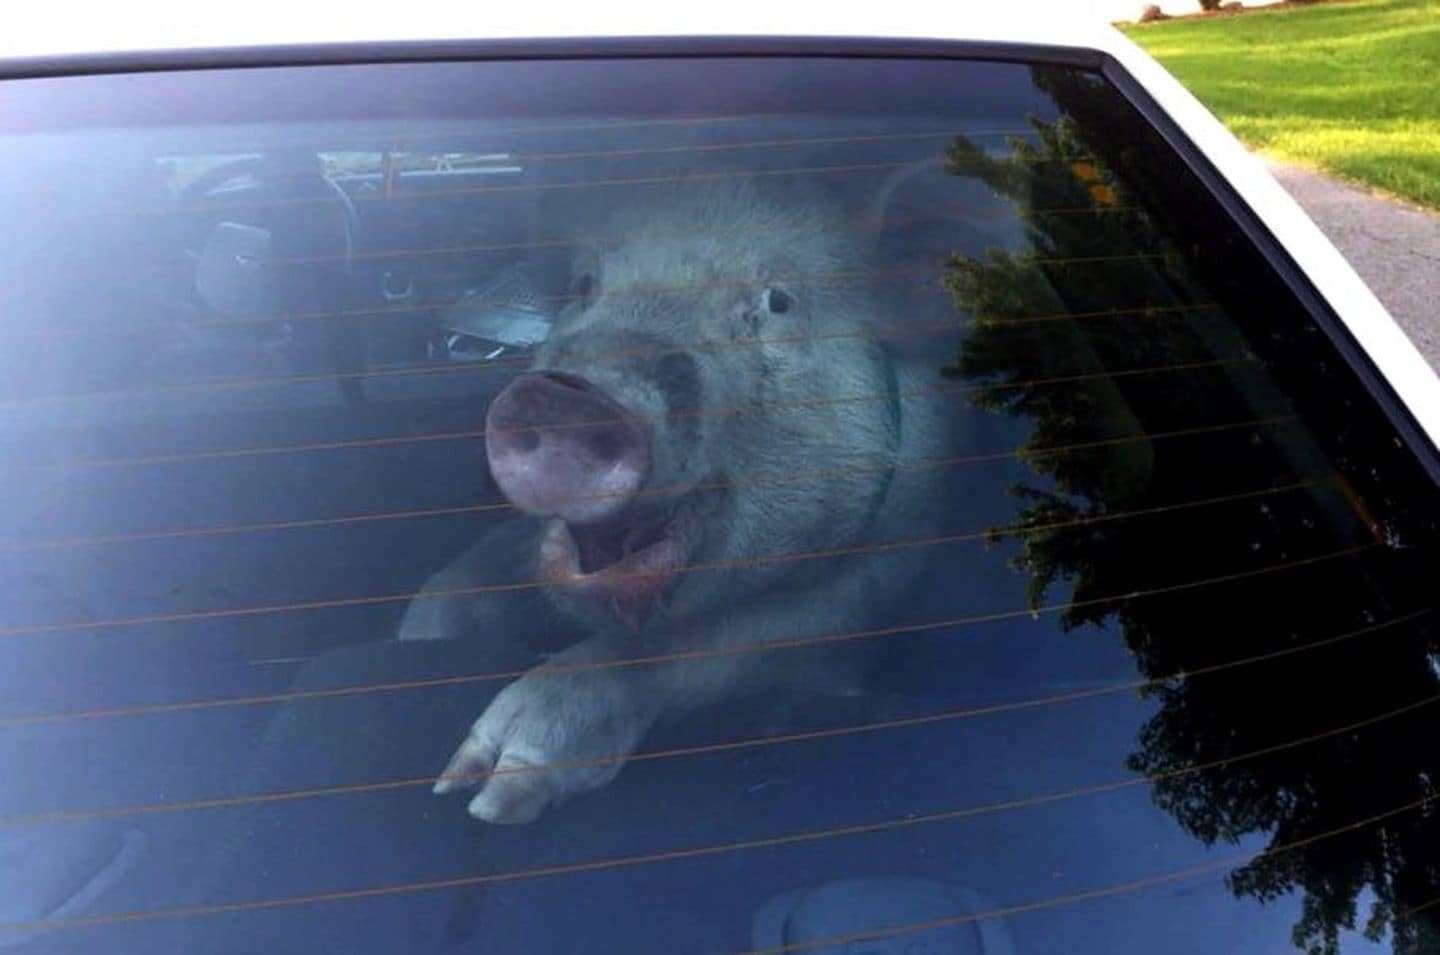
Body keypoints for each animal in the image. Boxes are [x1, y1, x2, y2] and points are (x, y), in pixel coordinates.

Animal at [397, 180, 954, 824]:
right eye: (584, 283)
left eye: (778, 302)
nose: (566, 396)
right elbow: (456, 586)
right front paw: (420, 647)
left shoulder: (894, 555)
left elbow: (731, 641)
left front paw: (487, 795)